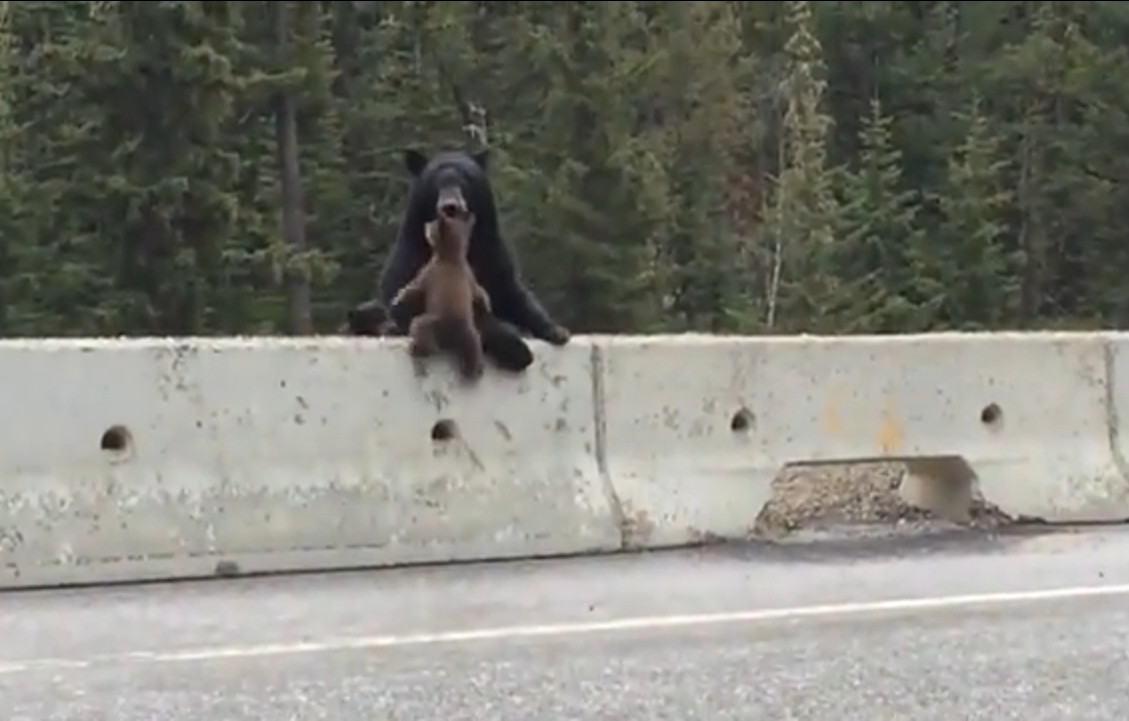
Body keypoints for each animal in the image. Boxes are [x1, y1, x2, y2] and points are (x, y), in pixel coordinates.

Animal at [390, 200, 490, 380]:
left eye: (434, 224)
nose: (426, 224)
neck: (452, 256)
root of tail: (452, 337)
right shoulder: (469, 275)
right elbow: (478, 291)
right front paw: (486, 303)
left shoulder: (430, 272)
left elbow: (414, 288)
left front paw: (399, 297)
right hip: (470, 333)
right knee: (474, 344)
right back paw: (476, 368)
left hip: (433, 322)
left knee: (421, 328)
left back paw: (418, 348)